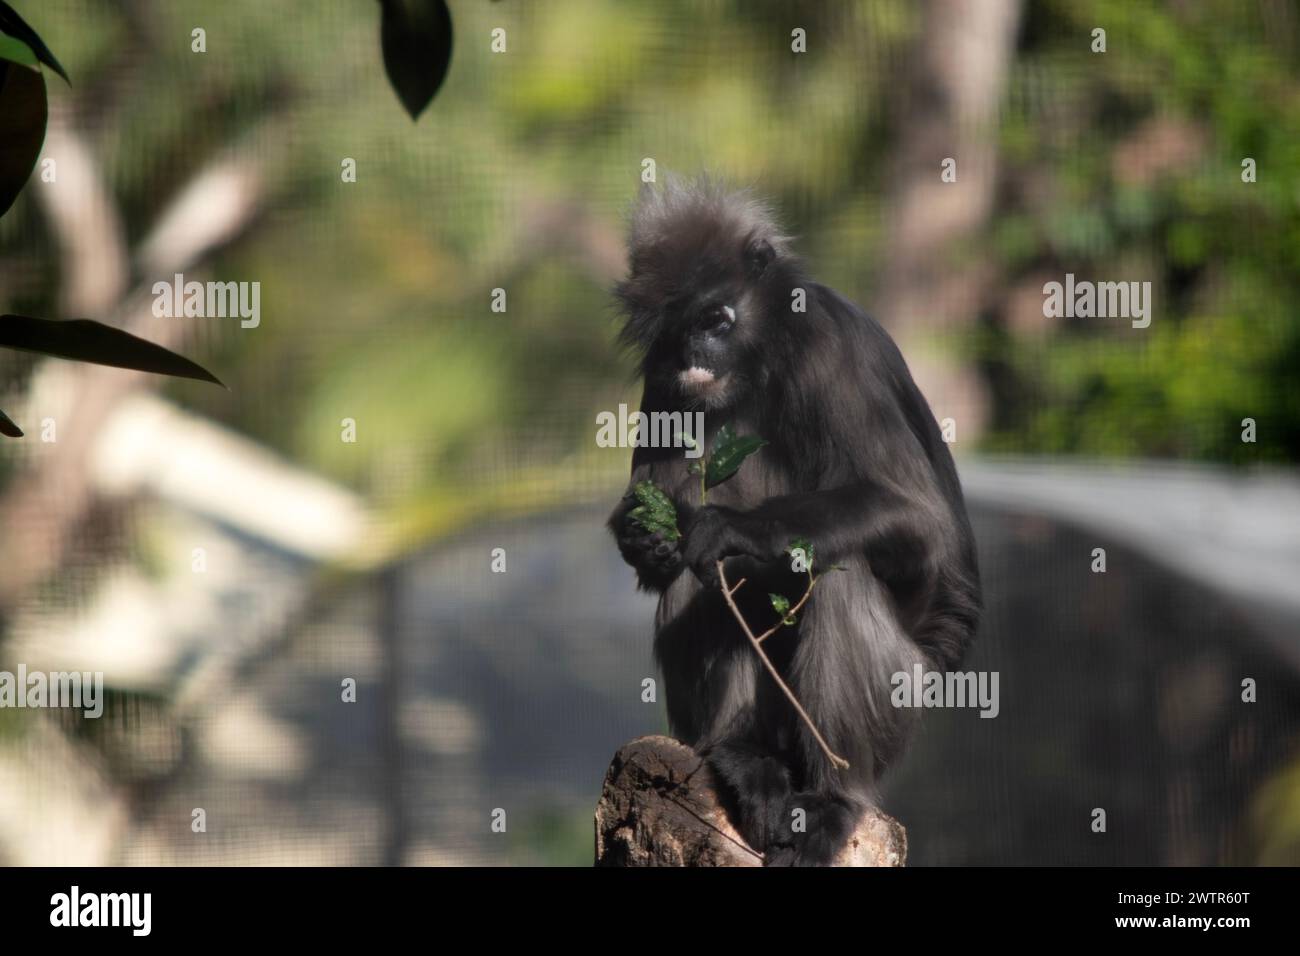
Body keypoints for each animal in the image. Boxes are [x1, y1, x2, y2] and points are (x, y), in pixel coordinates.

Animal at [608, 177, 981, 866]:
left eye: (717, 319)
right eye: (677, 326)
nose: (696, 351)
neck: (763, 354)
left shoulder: (829, 344)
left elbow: (919, 516)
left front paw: (732, 528)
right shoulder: (661, 373)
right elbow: (660, 526)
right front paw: (645, 535)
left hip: (905, 693)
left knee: (840, 576)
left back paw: (833, 799)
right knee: (700, 577)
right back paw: (741, 756)